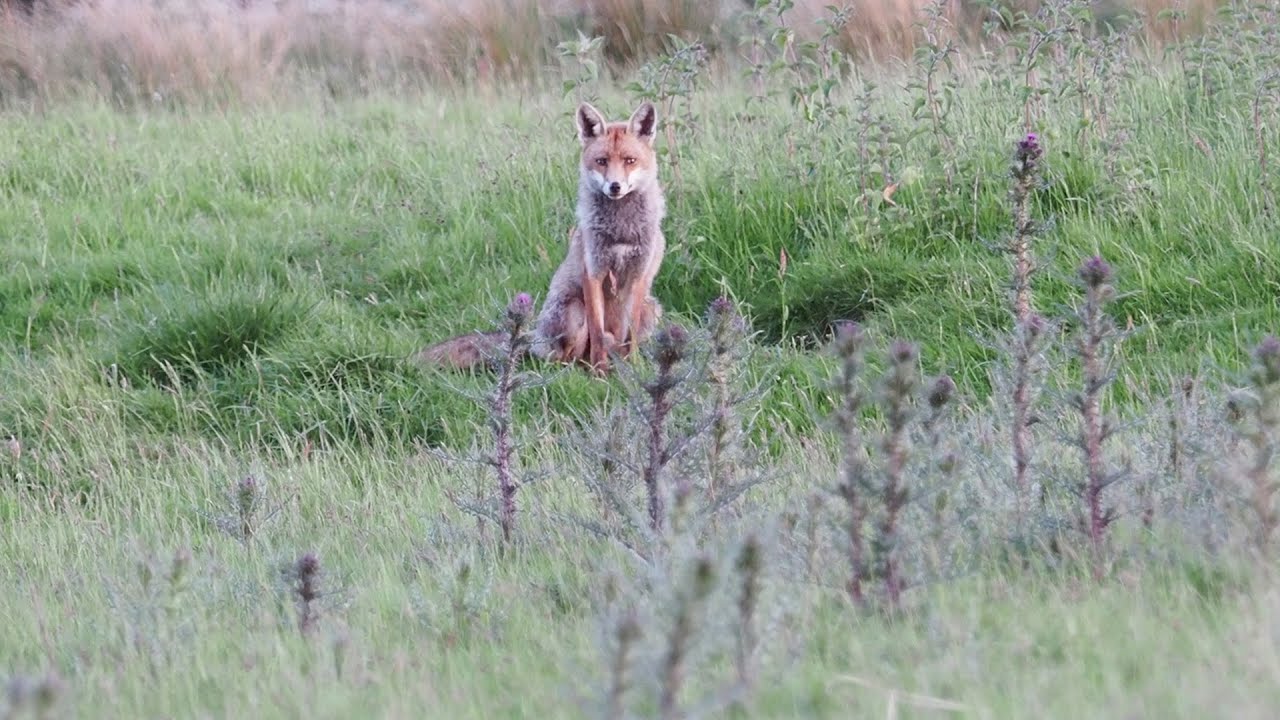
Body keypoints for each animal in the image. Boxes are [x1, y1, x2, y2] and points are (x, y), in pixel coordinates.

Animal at [416, 101, 666, 376]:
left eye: (630, 161)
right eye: (601, 161)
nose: (615, 186)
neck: (620, 230)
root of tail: (535, 335)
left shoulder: (638, 275)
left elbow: (630, 333)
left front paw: (637, 369)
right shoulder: (593, 271)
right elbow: (598, 332)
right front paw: (598, 373)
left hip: (652, 308)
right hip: (574, 313)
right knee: (565, 359)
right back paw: (582, 371)